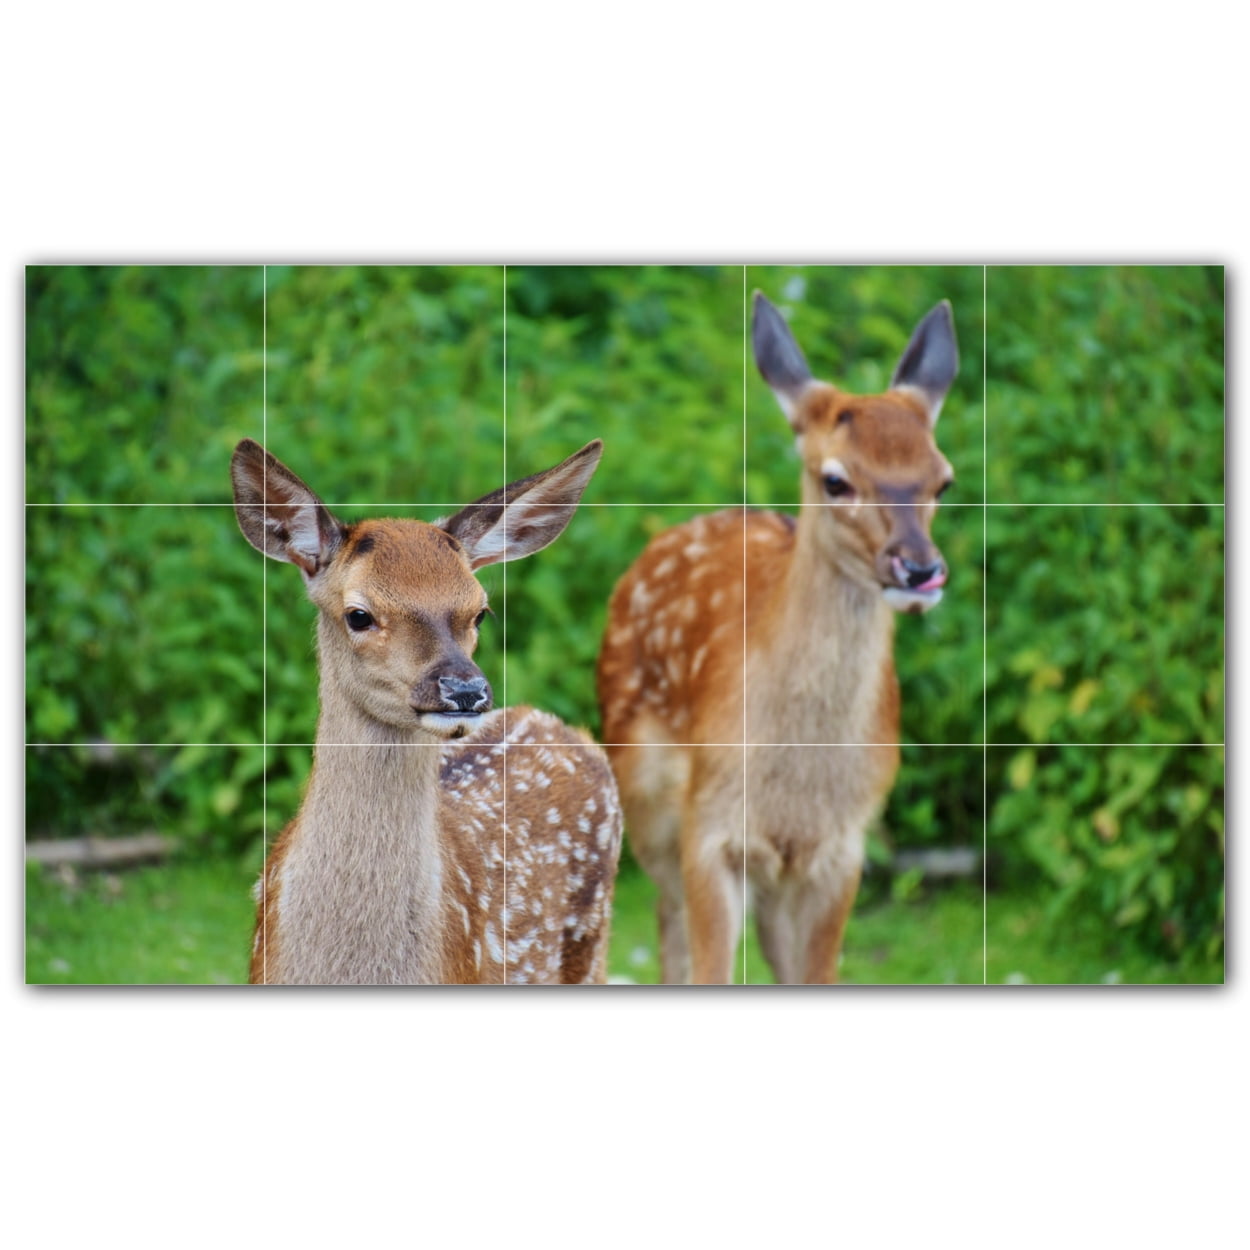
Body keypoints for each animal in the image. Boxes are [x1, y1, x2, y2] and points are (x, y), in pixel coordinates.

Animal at [597, 292, 958, 984]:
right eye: (835, 479)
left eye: (942, 479)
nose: (919, 569)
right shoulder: (711, 828)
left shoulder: (842, 846)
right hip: (646, 796)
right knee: (667, 921)